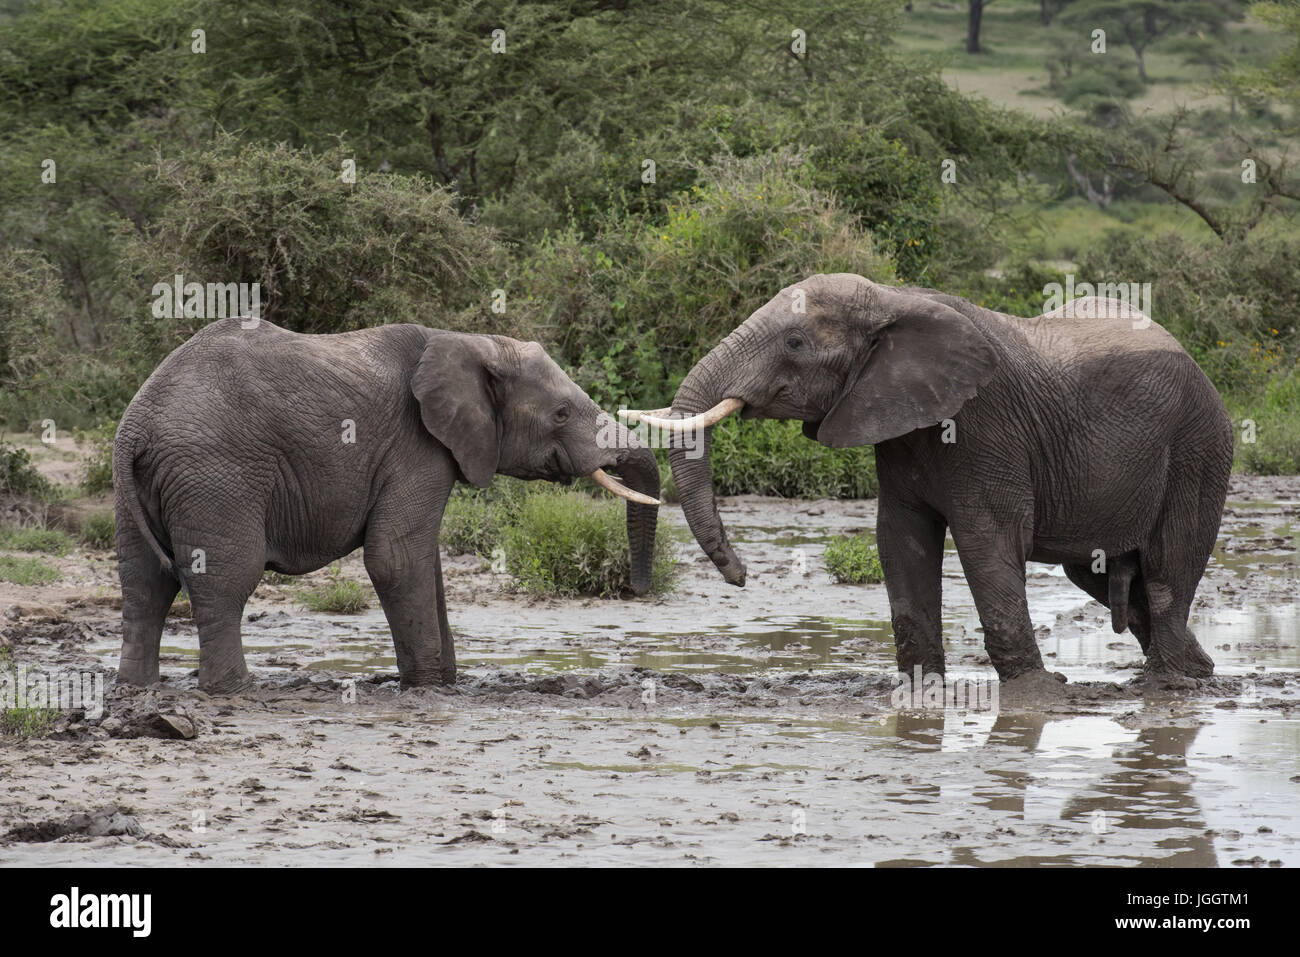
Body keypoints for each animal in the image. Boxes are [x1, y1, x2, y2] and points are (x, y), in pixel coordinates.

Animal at [114, 317, 660, 694]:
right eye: (561, 413)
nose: (639, 591)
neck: (467, 341)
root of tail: (138, 423)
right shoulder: (416, 445)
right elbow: (395, 558)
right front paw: (426, 686)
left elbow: (425, 563)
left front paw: (446, 681)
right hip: (216, 475)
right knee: (226, 579)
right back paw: (235, 690)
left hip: (142, 486)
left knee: (144, 584)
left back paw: (138, 687)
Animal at [623, 274, 1232, 691]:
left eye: (794, 343)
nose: (739, 575)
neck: (890, 300)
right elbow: (900, 540)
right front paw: (921, 692)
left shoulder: (984, 426)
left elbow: (988, 543)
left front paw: (1038, 695)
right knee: (1101, 577)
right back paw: (1198, 670)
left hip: (1199, 446)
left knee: (1168, 566)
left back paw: (1167, 684)